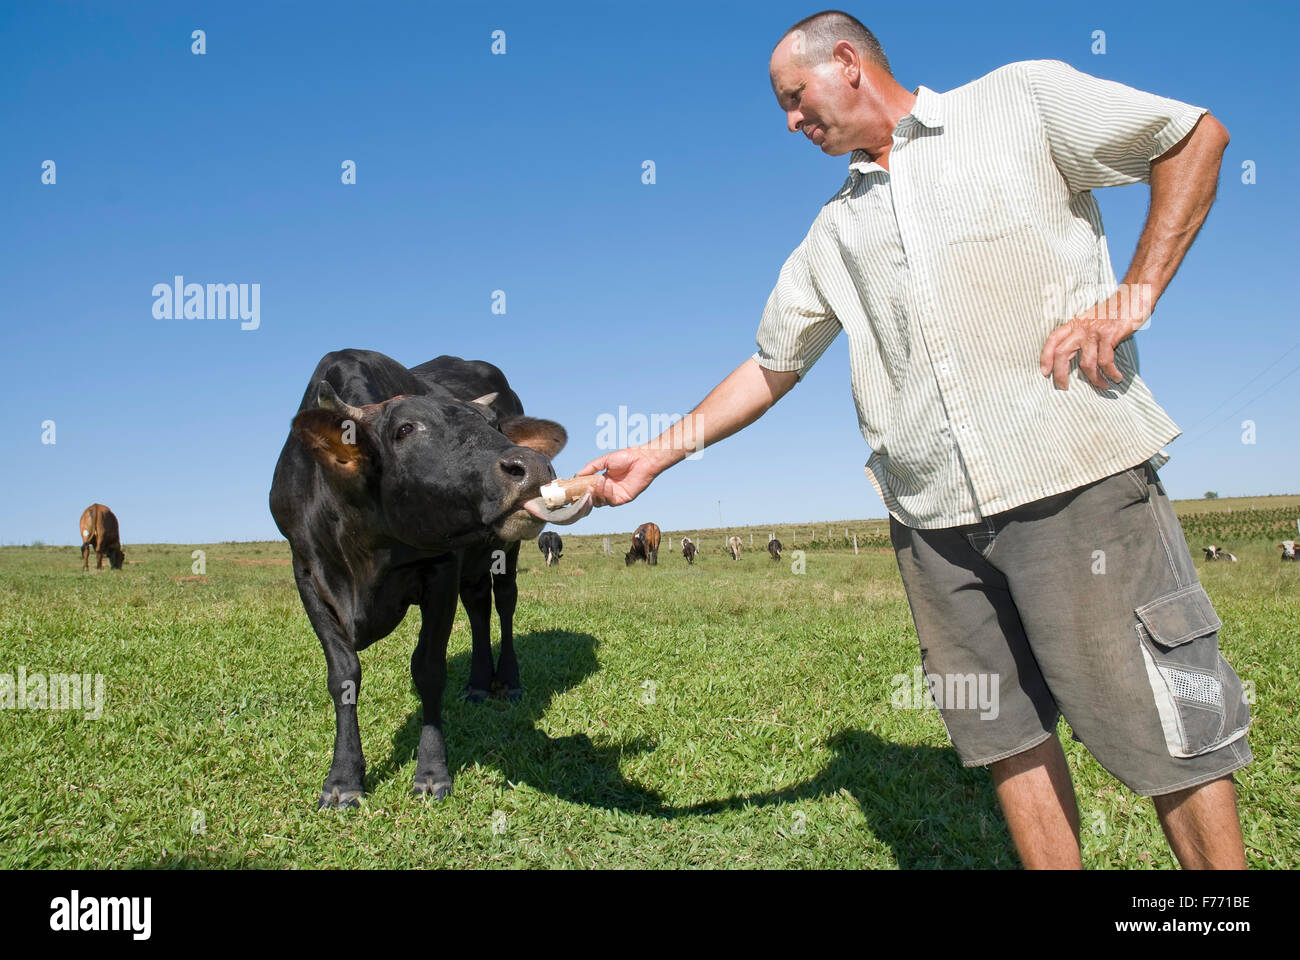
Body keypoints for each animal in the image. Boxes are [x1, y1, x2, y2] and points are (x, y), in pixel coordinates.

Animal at [268, 349, 590, 808]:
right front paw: (343, 778)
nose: (533, 466)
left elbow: (429, 669)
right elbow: (343, 674)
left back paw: (506, 681)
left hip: (504, 552)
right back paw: (478, 684)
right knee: (478, 606)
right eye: (405, 429)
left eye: (494, 425)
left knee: (503, 604)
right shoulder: (307, 574)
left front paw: (432, 771)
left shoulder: (442, 568)